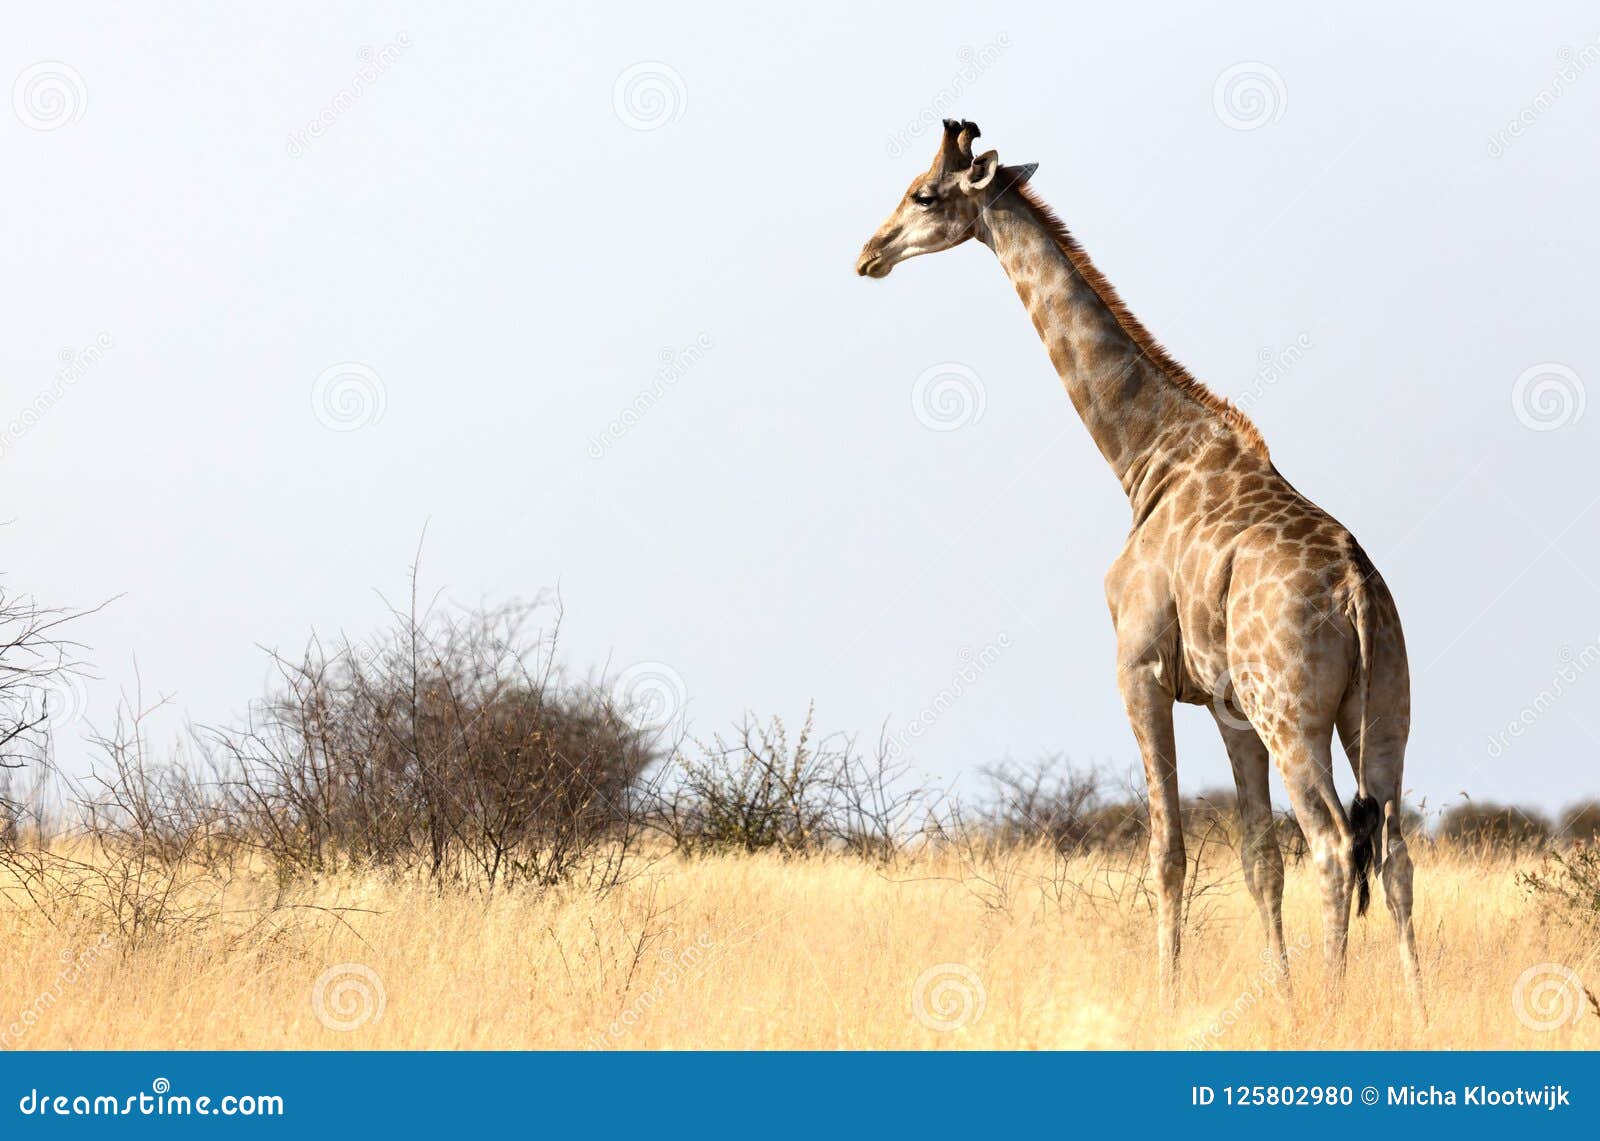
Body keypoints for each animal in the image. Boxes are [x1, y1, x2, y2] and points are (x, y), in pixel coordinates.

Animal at [856, 120, 1421, 1009]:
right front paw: (1278, 992)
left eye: (924, 192)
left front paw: (1170, 994)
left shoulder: (1139, 667)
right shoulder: (1229, 708)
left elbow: (1169, 851)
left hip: (1293, 711)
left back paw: (1336, 1004)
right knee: (1392, 849)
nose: (869, 253)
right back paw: (1416, 1006)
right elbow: (1258, 857)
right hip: (1381, 706)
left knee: (1334, 843)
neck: (1146, 458)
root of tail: (1357, 591)